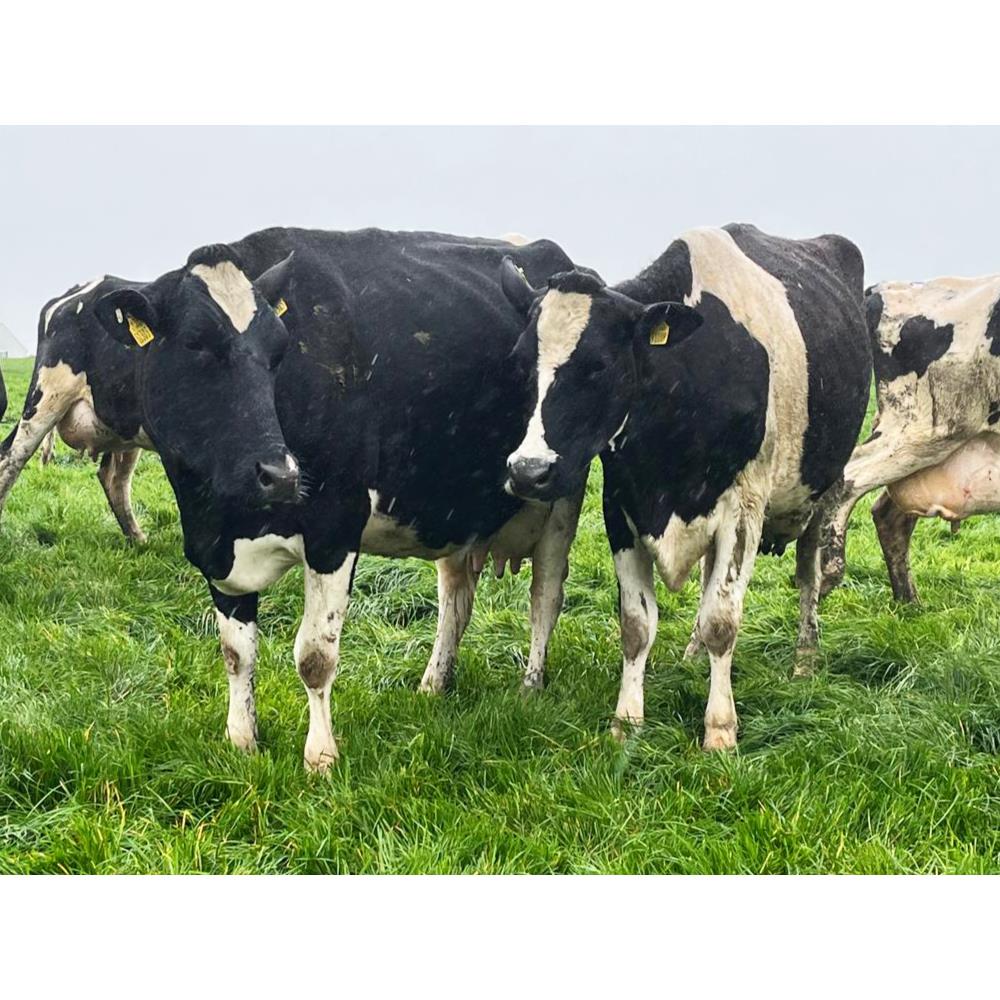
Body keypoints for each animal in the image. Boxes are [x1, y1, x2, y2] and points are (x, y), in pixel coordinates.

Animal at [27, 229, 582, 771]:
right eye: (195, 344)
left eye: (279, 351)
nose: (280, 473)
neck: (221, 509)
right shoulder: (213, 543)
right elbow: (236, 652)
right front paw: (242, 740)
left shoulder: (334, 529)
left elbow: (315, 657)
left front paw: (321, 756)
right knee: (455, 598)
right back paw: (434, 683)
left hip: (560, 495)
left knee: (545, 595)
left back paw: (531, 686)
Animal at [500, 224, 872, 749]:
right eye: (519, 361)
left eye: (598, 365)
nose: (528, 471)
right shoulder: (621, 504)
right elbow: (636, 624)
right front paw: (626, 721)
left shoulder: (744, 508)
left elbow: (722, 620)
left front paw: (720, 730)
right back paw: (694, 655)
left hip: (824, 488)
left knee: (808, 576)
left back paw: (805, 658)